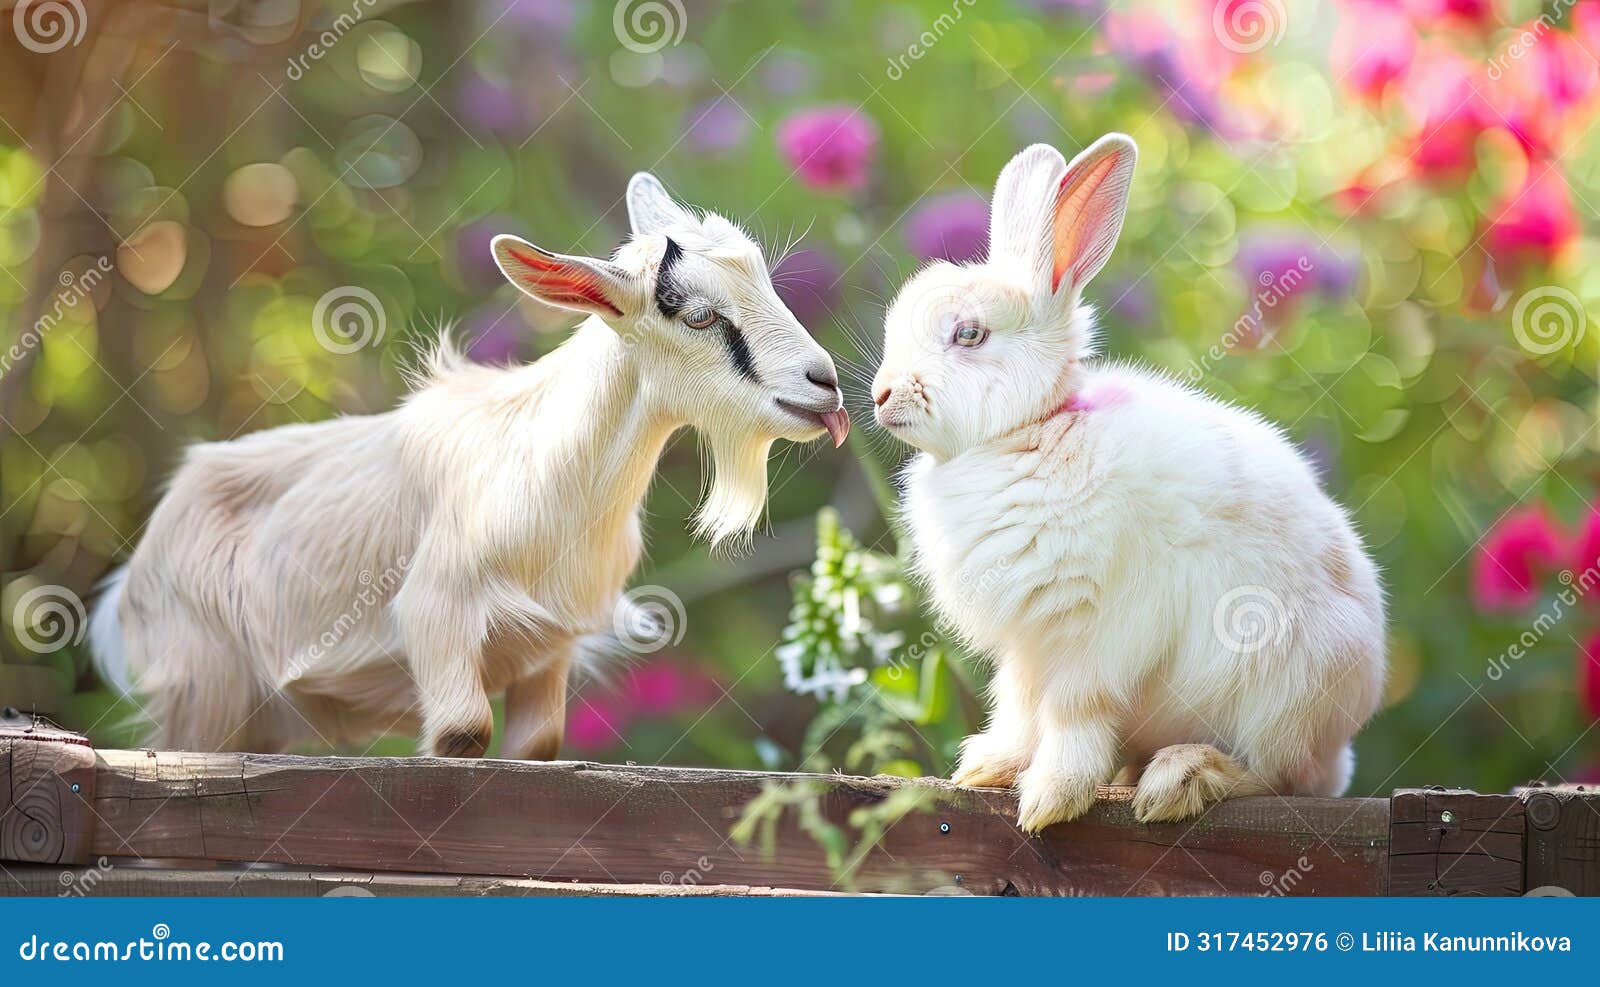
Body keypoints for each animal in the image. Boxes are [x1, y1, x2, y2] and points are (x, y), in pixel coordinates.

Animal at [90, 173, 849, 758]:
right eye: (695, 315)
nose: (827, 384)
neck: (550, 478)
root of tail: (126, 584)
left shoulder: (551, 647)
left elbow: (536, 747)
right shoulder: (437, 611)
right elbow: (460, 732)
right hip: (203, 678)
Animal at [870, 134, 1387, 832]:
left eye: (969, 334)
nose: (880, 396)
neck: (1035, 431)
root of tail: (1340, 746)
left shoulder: (1097, 636)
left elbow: (1073, 715)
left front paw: (1048, 801)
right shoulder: (1028, 650)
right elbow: (1019, 711)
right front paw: (986, 770)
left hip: (1285, 697)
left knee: (1276, 779)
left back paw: (1179, 780)